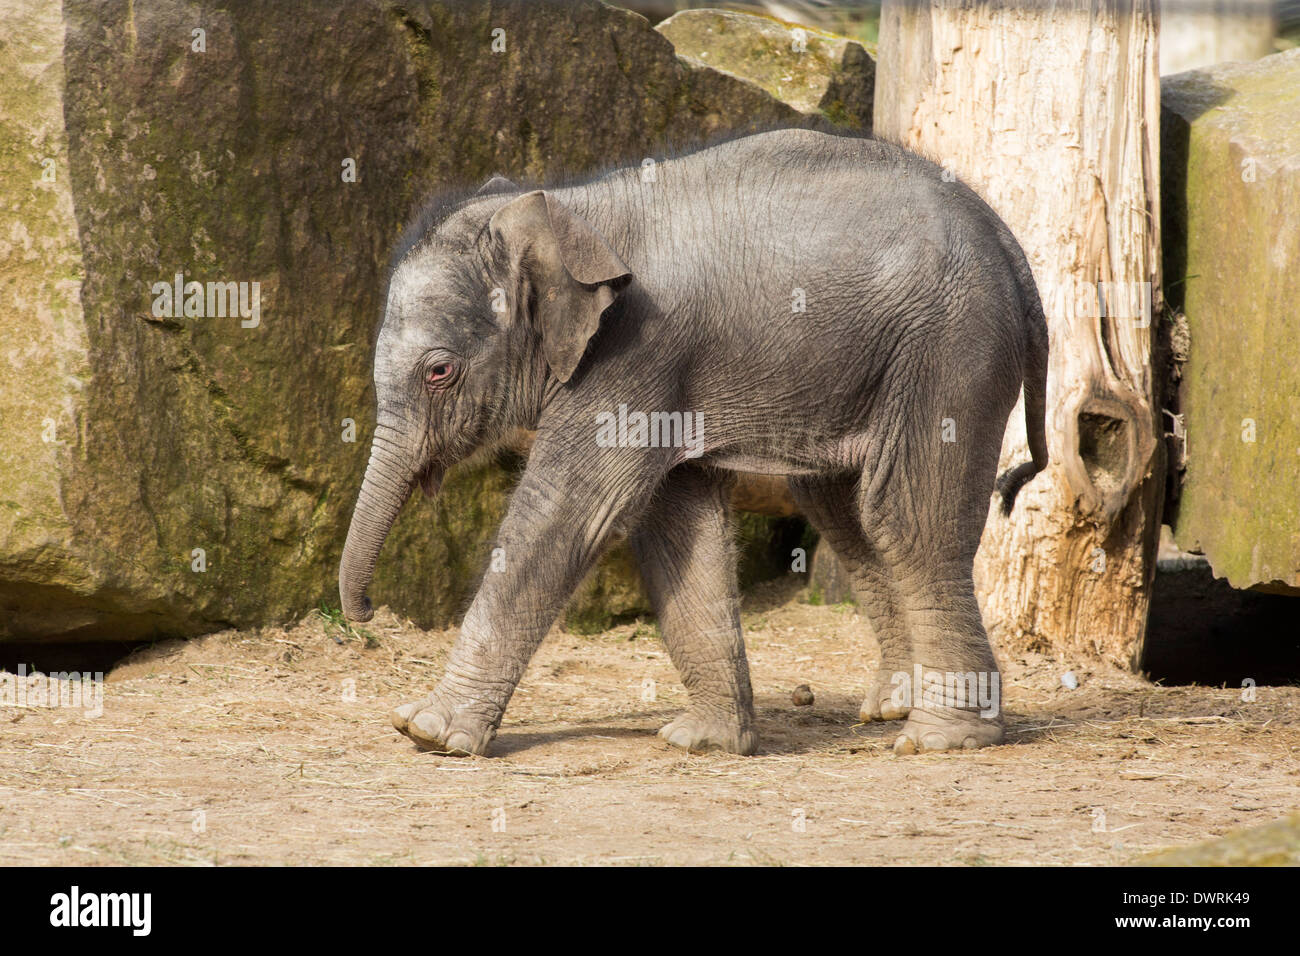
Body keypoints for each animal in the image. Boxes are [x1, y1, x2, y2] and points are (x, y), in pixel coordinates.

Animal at [339, 127, 1048, 757]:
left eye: (439, 371)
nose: (367, 612)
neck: (573, 206)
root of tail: (1010, 244)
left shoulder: (635, 351)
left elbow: (572, 511)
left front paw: (428, 733)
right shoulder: (664, 378)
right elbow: (676, 523)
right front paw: (703, 742)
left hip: (950, 349)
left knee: (906, 518)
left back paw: (940, 739)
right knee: (842, 510)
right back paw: (893, 709)